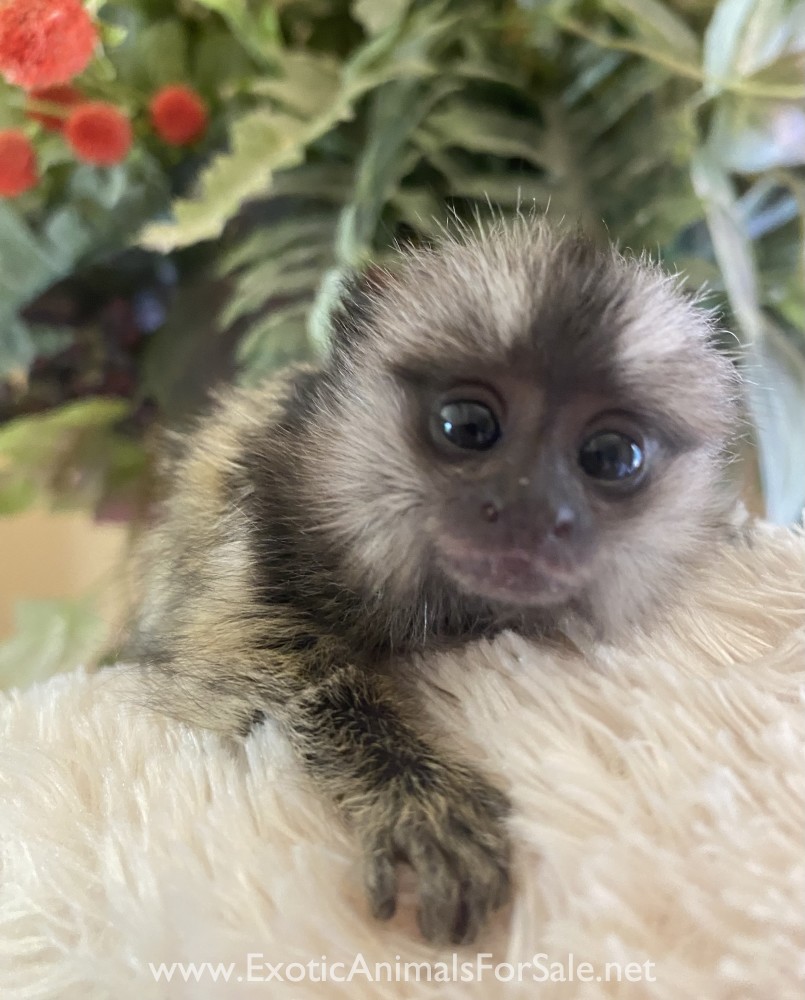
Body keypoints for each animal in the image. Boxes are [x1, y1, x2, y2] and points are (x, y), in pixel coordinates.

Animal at [128, 219, 740, 946]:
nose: (532, 511)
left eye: (611, 457)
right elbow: (251, 673)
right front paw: (410, 793)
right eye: (467, 426)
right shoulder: (251, 526)